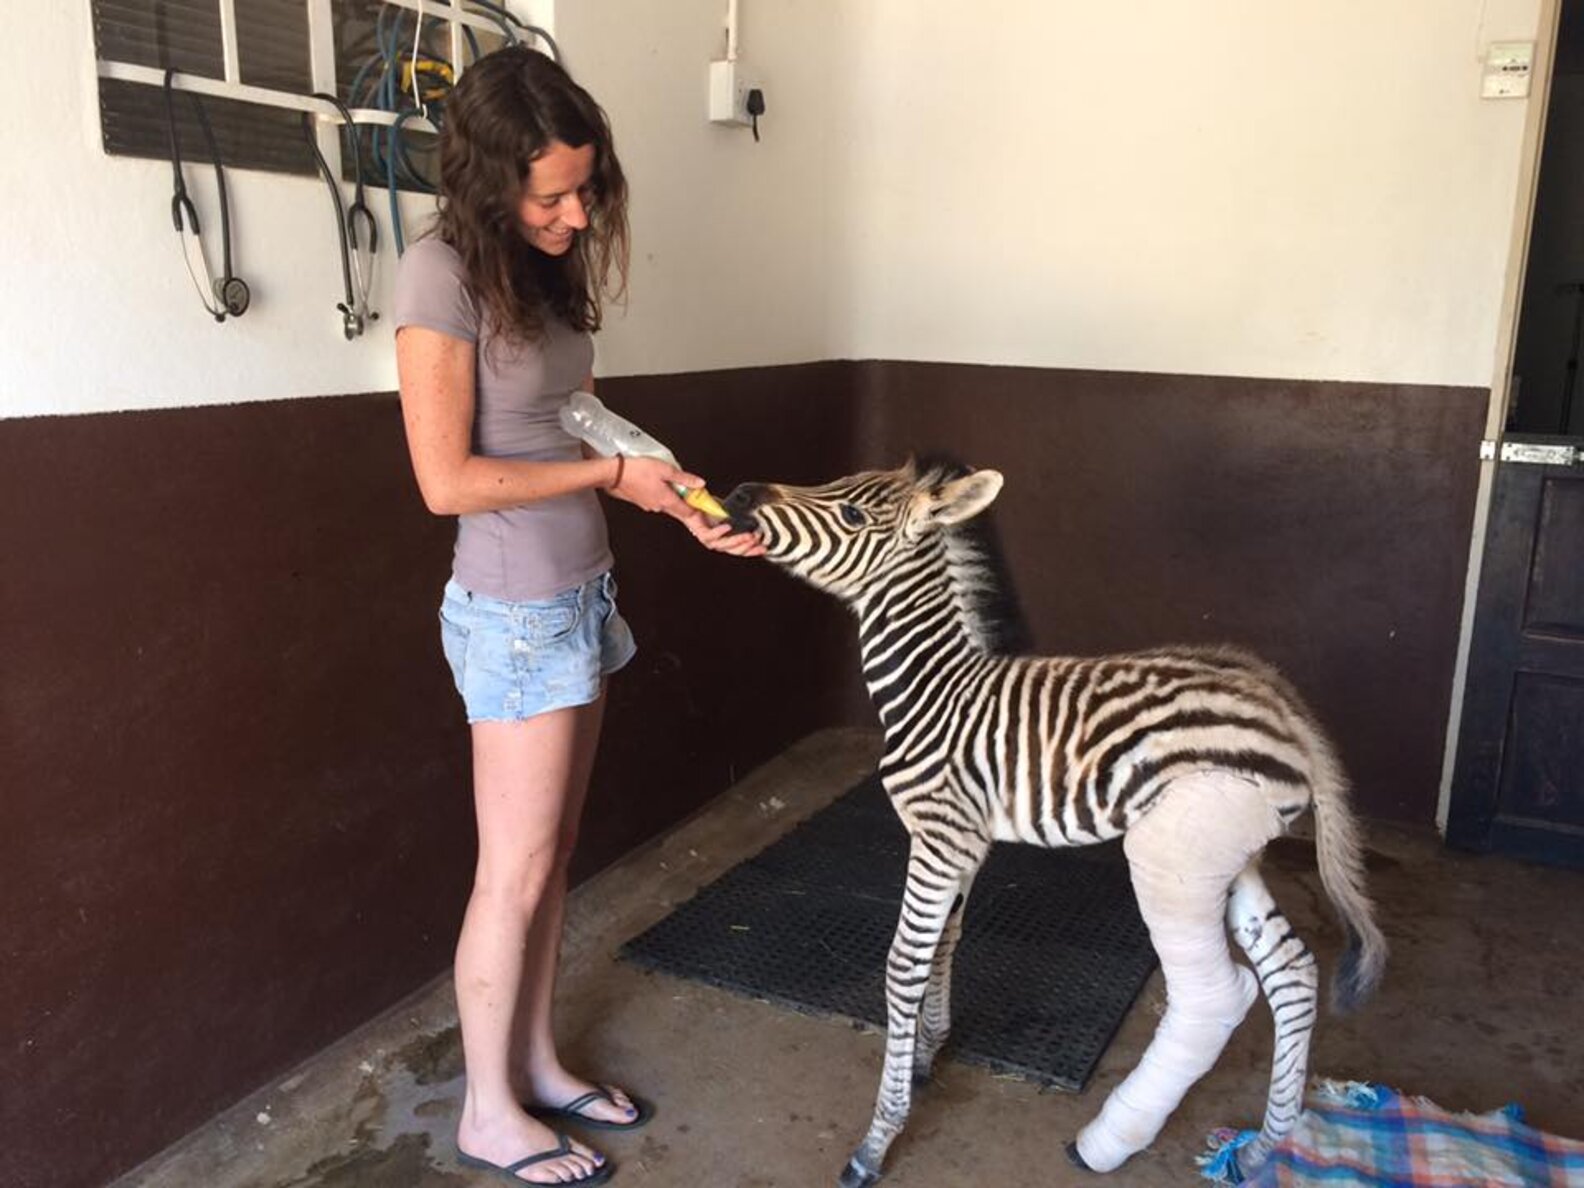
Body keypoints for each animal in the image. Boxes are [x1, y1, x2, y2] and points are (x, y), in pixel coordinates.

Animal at [719, 459, 1387, 1187]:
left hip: (1175, 856)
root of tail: (1283, 705)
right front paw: (928, 1055)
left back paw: (1109, 1141)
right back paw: (1266, 1146)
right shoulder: (964, 845)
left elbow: (902, 967)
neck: (934, 693)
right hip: (1226, 854)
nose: (737, 494)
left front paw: (878, 1138)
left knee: (1218, 995)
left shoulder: (939, 837)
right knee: (1292, 972)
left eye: (852, 516)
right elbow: (947, 945)